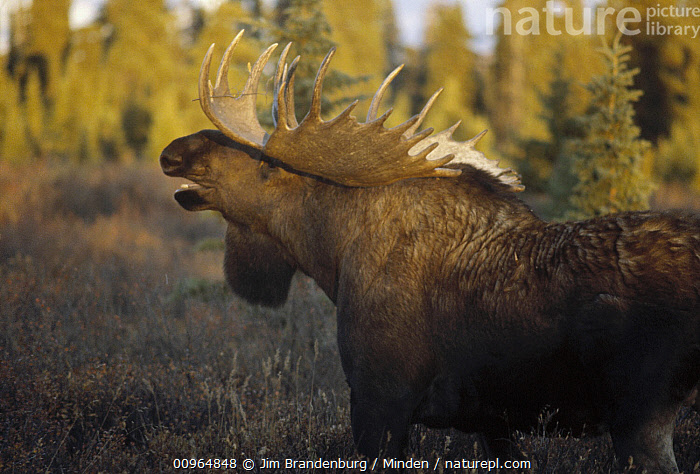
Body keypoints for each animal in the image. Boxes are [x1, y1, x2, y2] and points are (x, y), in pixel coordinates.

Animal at [160, 31, 700, 472]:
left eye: (264, 163)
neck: (331, 258)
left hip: (638, 414)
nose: (174, 151)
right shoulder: (492, 423)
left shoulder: (380, 400)